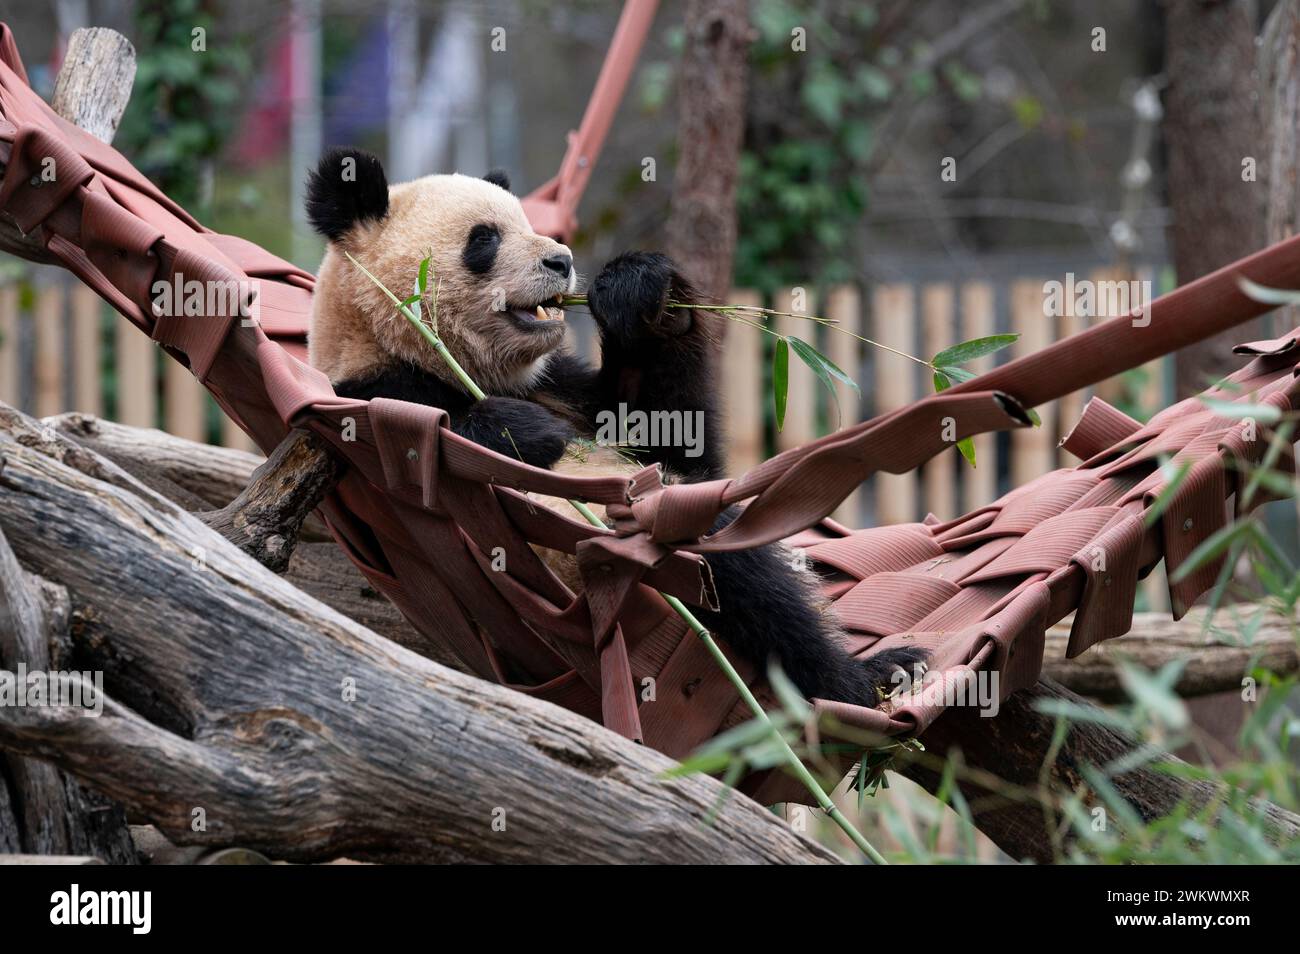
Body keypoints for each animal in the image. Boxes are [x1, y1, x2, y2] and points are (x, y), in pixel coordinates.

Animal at [304, 146, 923, 711]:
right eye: (485, 239)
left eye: (530, 223)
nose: (560, 261)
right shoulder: (367, 391)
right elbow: (433, 440)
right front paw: (525, 433)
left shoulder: (560, 385)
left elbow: (675, 443)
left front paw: (640, 293)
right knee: (738, 574)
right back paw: (859, 681)